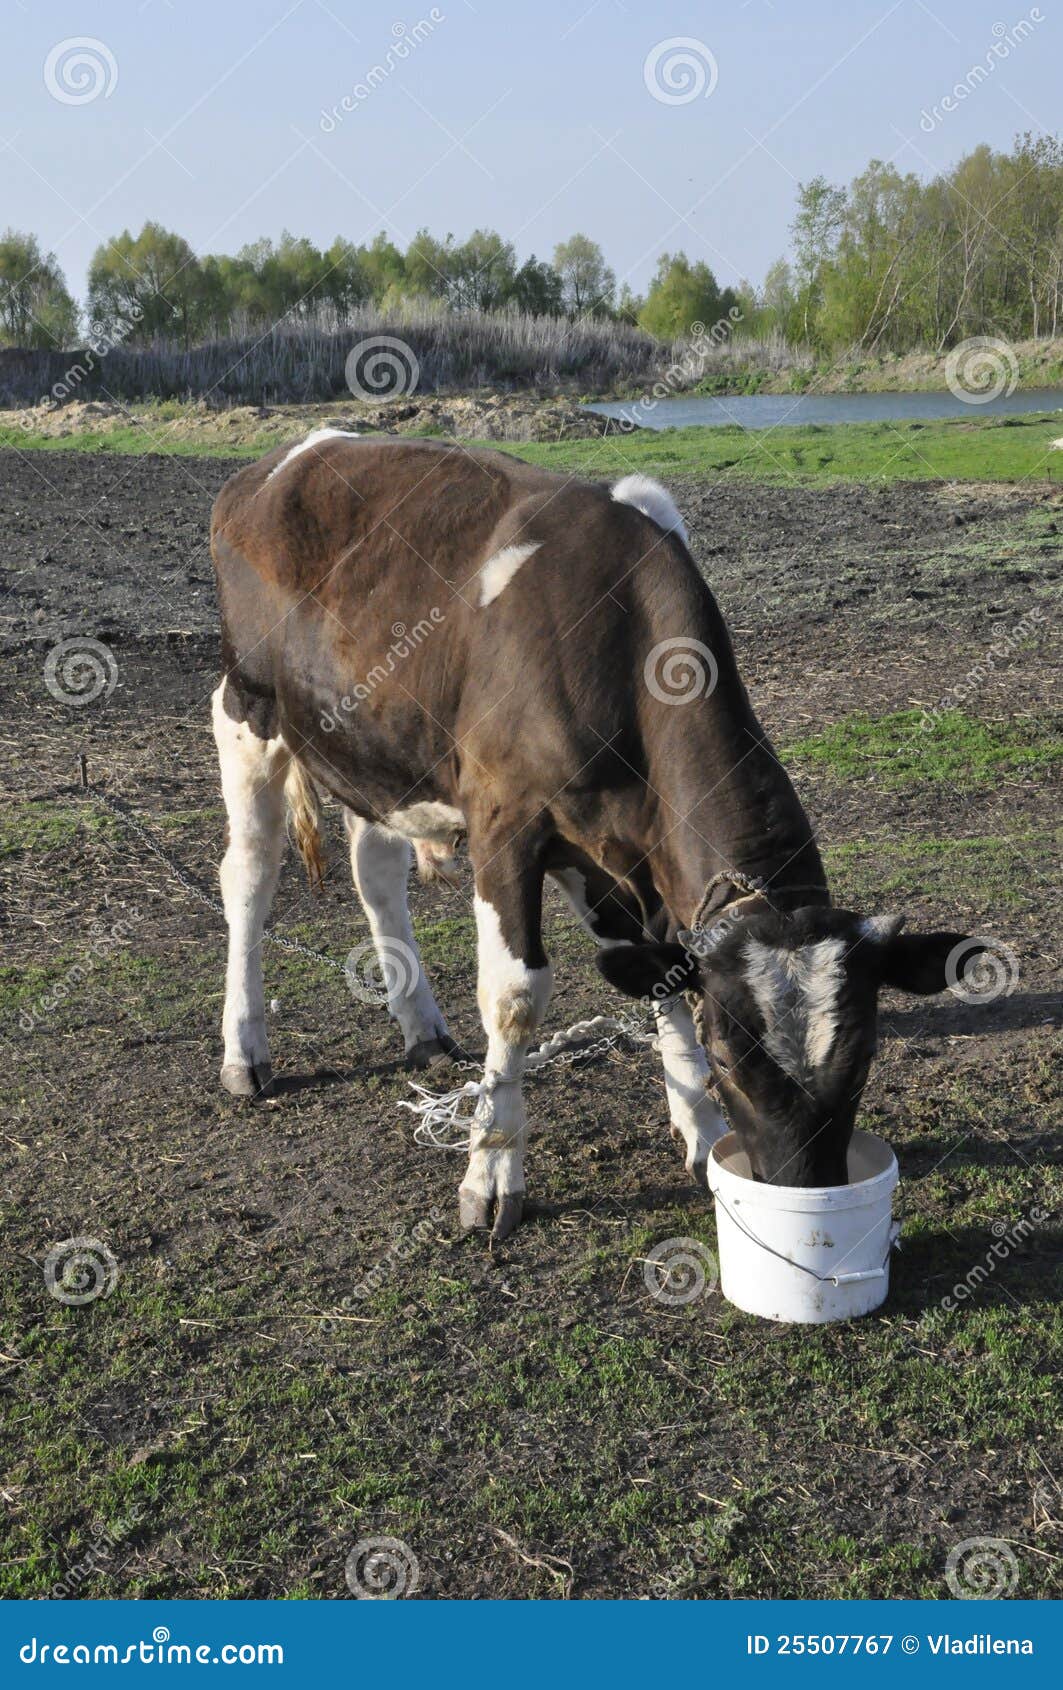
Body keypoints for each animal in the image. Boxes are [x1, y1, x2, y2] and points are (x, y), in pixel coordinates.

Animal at [209, 428, 980, 1239]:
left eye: (863, 1057)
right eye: (728, 1058)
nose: (802, 1187)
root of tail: (283, 461)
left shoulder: (615, 853)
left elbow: (660, 970)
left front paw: (701, 1133)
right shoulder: (505, 823)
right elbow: (515, 997)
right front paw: (491, 1177)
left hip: (372, 746)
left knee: (375, 869)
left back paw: (419, 1025)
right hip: (246, 709)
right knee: (249, 877)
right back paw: (245, 1049)